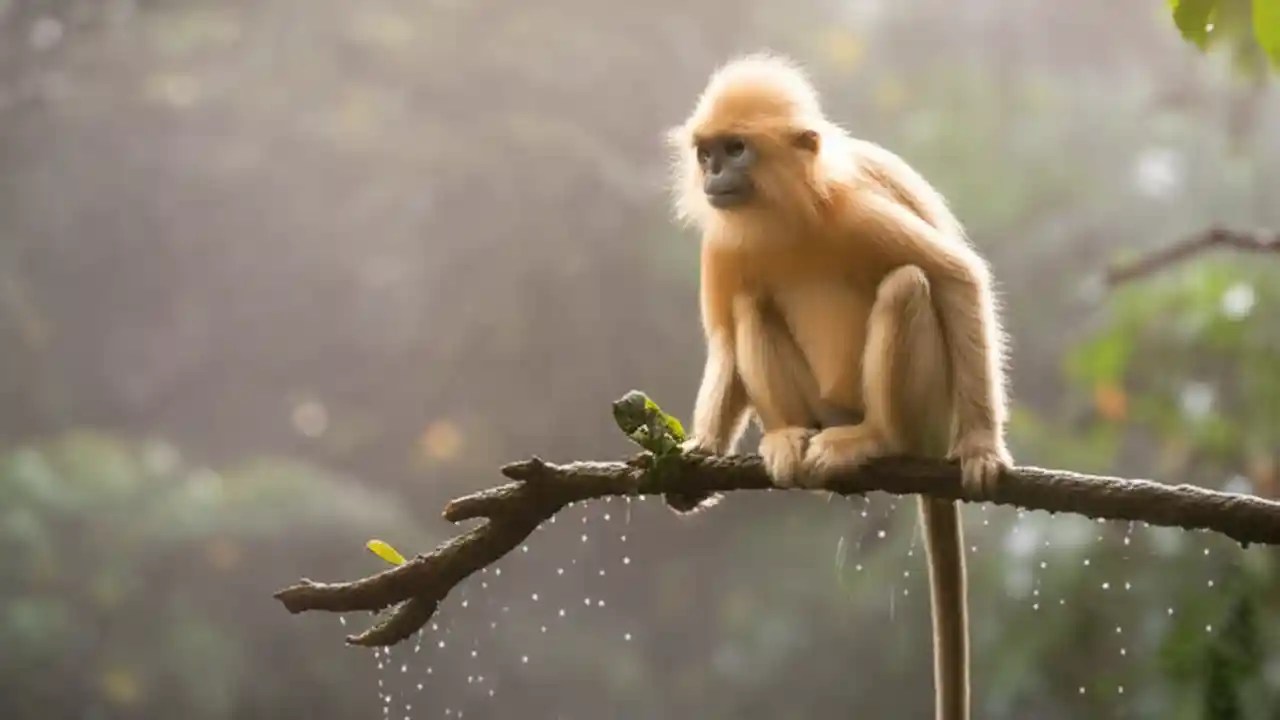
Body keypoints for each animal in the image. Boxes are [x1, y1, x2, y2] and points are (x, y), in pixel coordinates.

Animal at [665, 54, 1011, 720]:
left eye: (736, 148)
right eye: (706, 153)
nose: (715, 174)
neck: (783, 217)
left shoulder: (856, 207)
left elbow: (957, 279)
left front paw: (983, 446)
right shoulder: (724, 240)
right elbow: (724, 343)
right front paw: (698, 457)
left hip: (927, 409)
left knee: (908, 284)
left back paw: (876, 439)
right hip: (819, 401)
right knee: (751, 303)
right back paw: (786, 438)